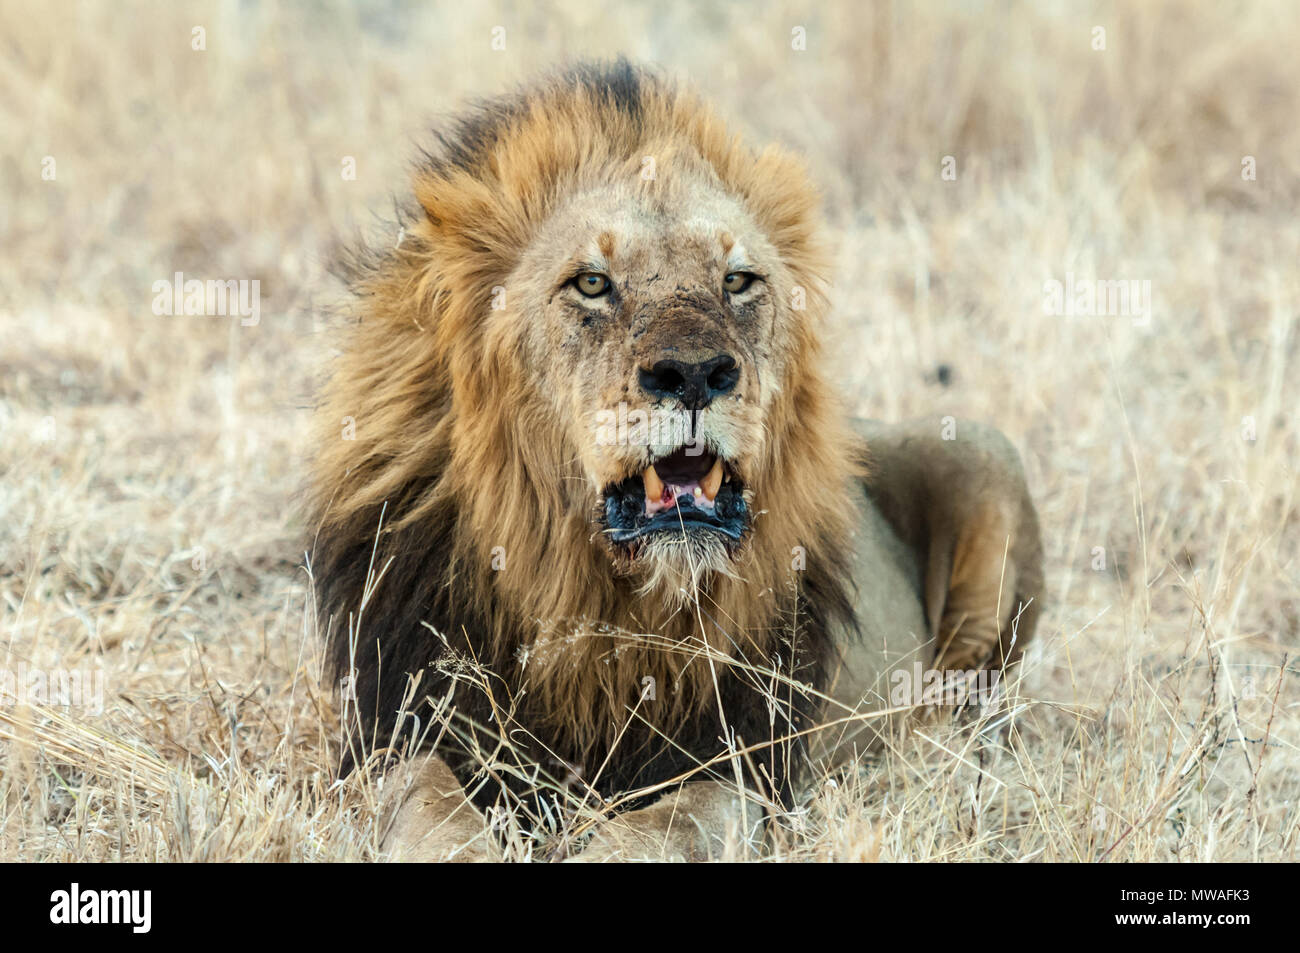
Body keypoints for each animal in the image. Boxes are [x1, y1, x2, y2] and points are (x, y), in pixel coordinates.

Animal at [309, 61, 1043, 862]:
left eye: (737, 280)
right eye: (591, 282)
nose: (693, 374)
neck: (602, 602)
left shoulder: (745, 760)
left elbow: (670, 823)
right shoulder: (394, 725)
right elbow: (429, 803)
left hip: (984, 453)